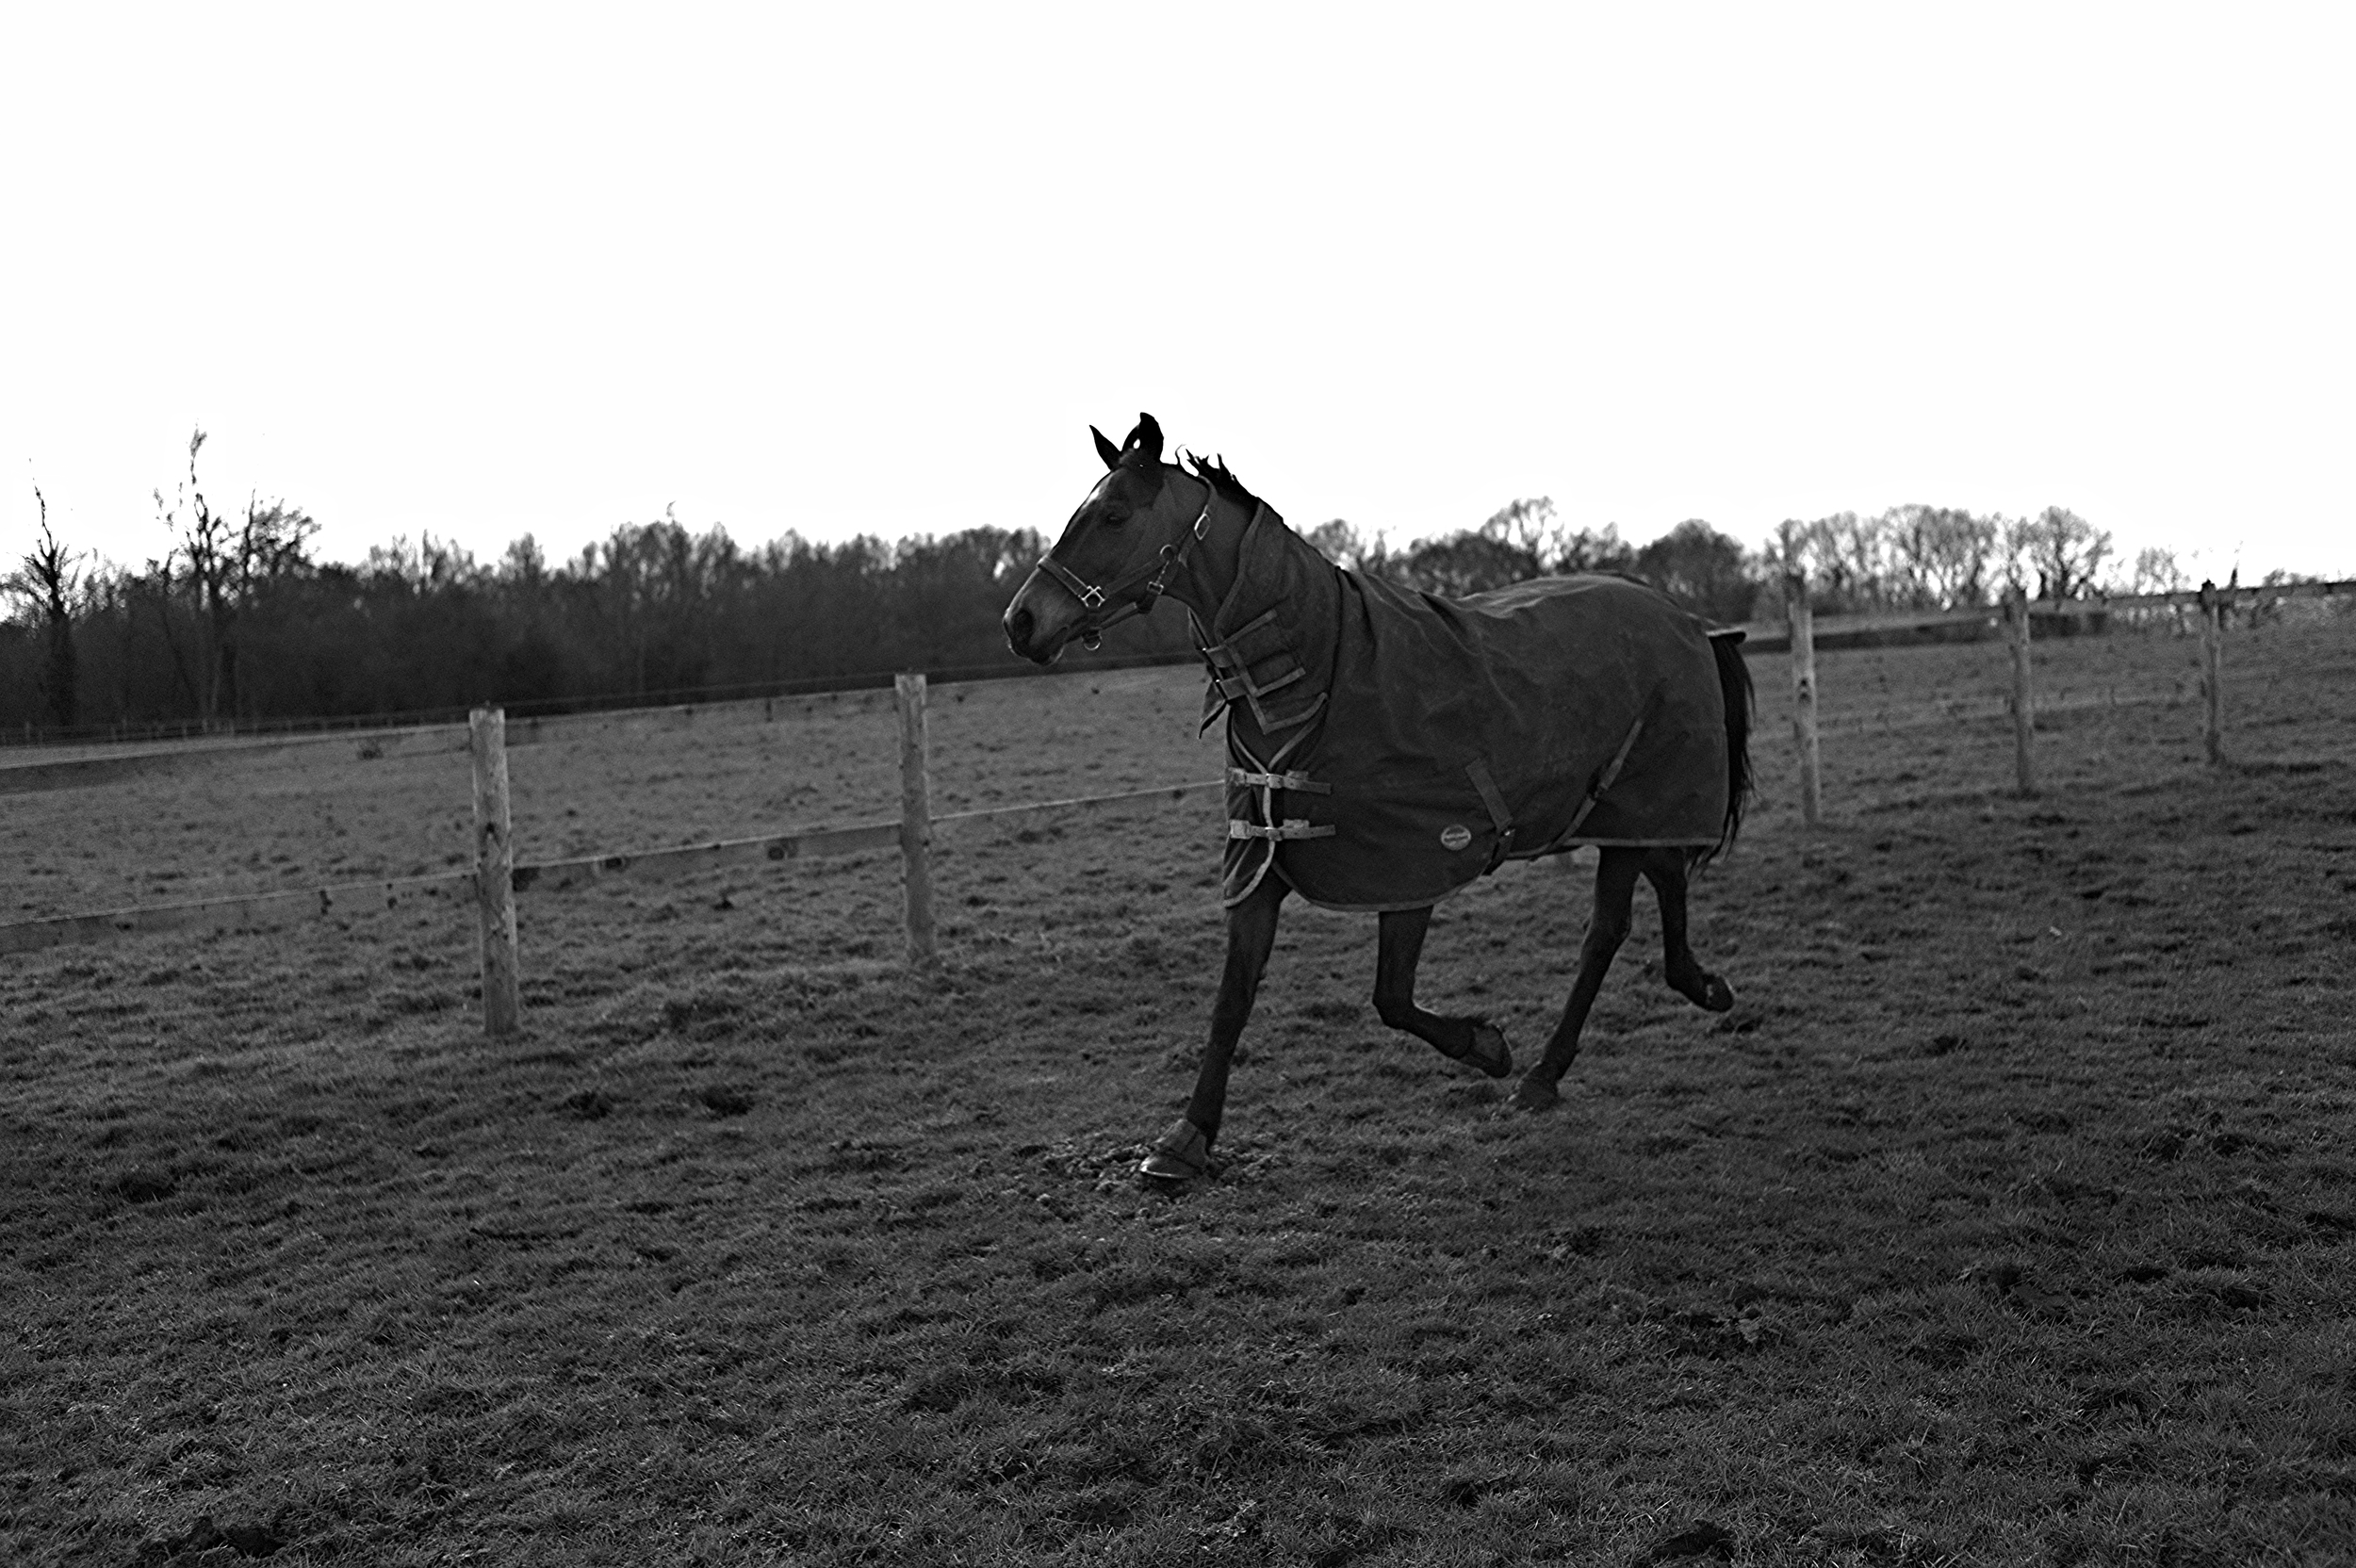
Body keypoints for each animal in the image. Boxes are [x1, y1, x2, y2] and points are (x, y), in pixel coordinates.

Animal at [1002, 414, 1754, 1183]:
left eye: (1113, 516)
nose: (1021, 622)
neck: (1317, 667)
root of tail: (1685, 618)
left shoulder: (1413, 862)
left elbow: (1391, 997)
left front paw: (1487, 1047)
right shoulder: (1259, 864)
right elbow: (1232, 1000)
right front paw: (1186, 1139)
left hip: (1635, 804)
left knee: (1606, 930)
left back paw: (1548, 1070)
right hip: (1622, 815)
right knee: (1659, 883)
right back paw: (1688, 991)